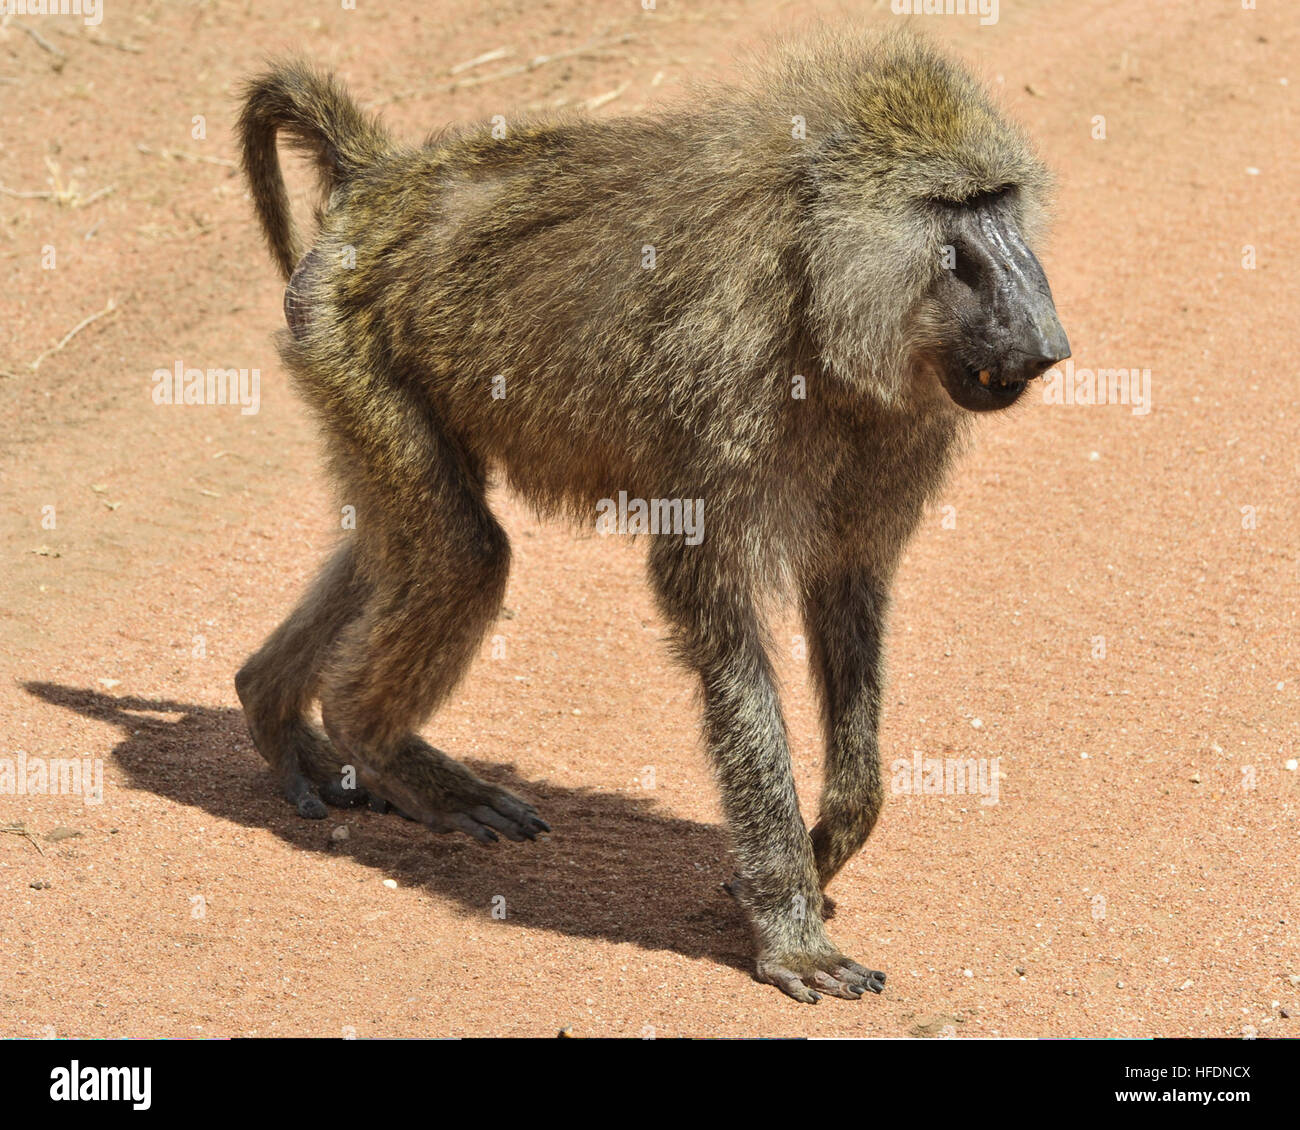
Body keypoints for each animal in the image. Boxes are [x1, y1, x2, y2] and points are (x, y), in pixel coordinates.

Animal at [234, 27, 1069, 1004]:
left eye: (1001, 200)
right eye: (953, 210)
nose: (1047, 342)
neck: (816, 289)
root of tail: (383, 182)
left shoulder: (898, 435)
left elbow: (846, 586)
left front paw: (824, 844)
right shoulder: (730, 389)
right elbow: (716, 616)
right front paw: (790, 928)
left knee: (398, 546)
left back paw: (272, 706)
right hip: (344, 336)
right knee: (461, 554)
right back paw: (373, 742)